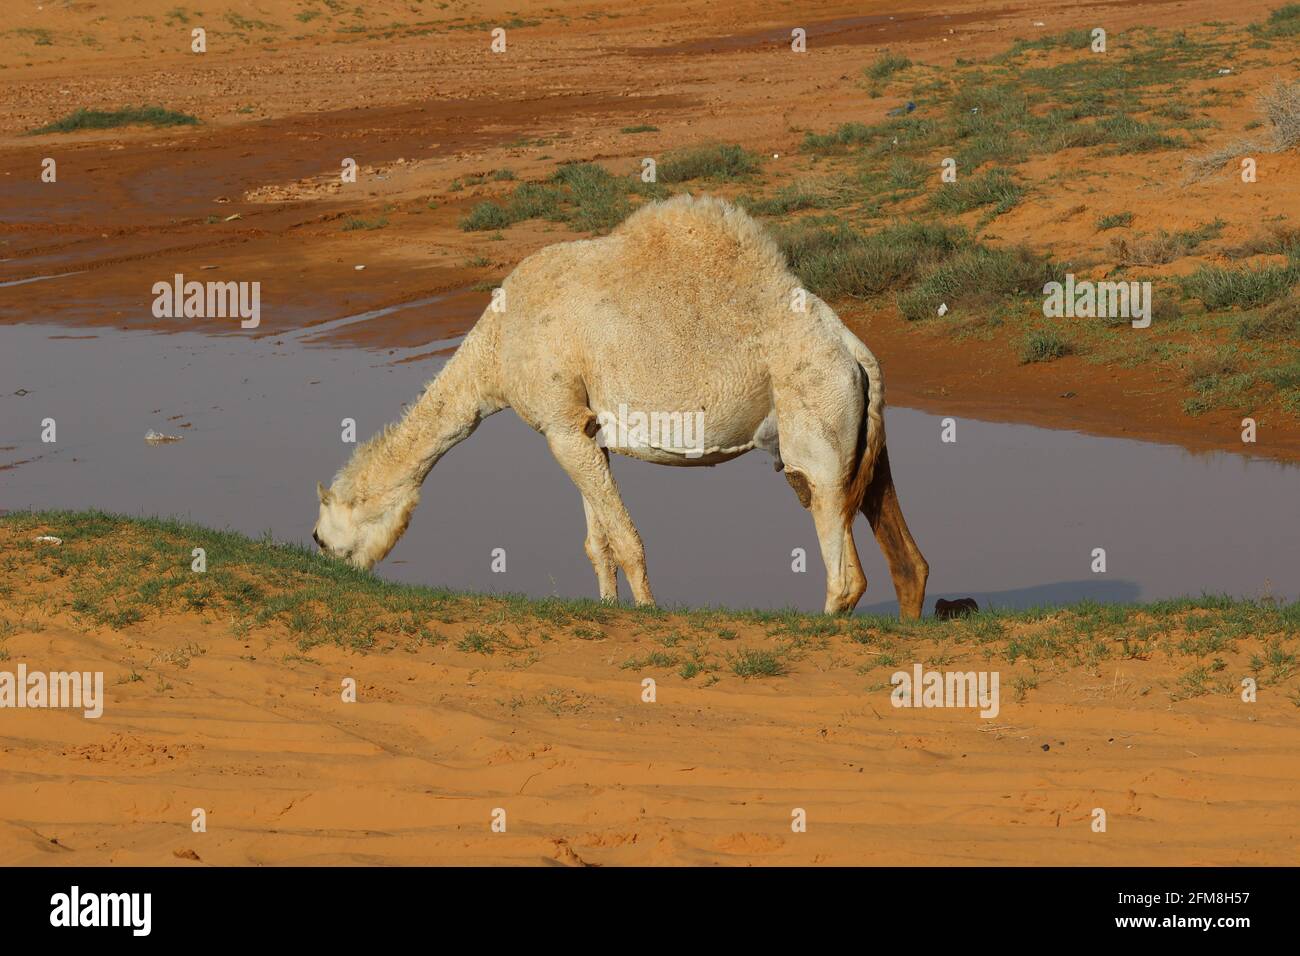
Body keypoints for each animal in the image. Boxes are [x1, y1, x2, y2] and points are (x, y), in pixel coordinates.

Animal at [313, 194, 929, 617]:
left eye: (322, 537)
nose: (328, 567)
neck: (497, 344)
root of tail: (854, 348)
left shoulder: (560, 422)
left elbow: (627, 541)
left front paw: (647, 612)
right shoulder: (582, 431)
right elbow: (597, 542)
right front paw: (609, 608)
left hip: (815, 423)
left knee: (842, 566)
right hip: (861, 432)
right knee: (906, 559)